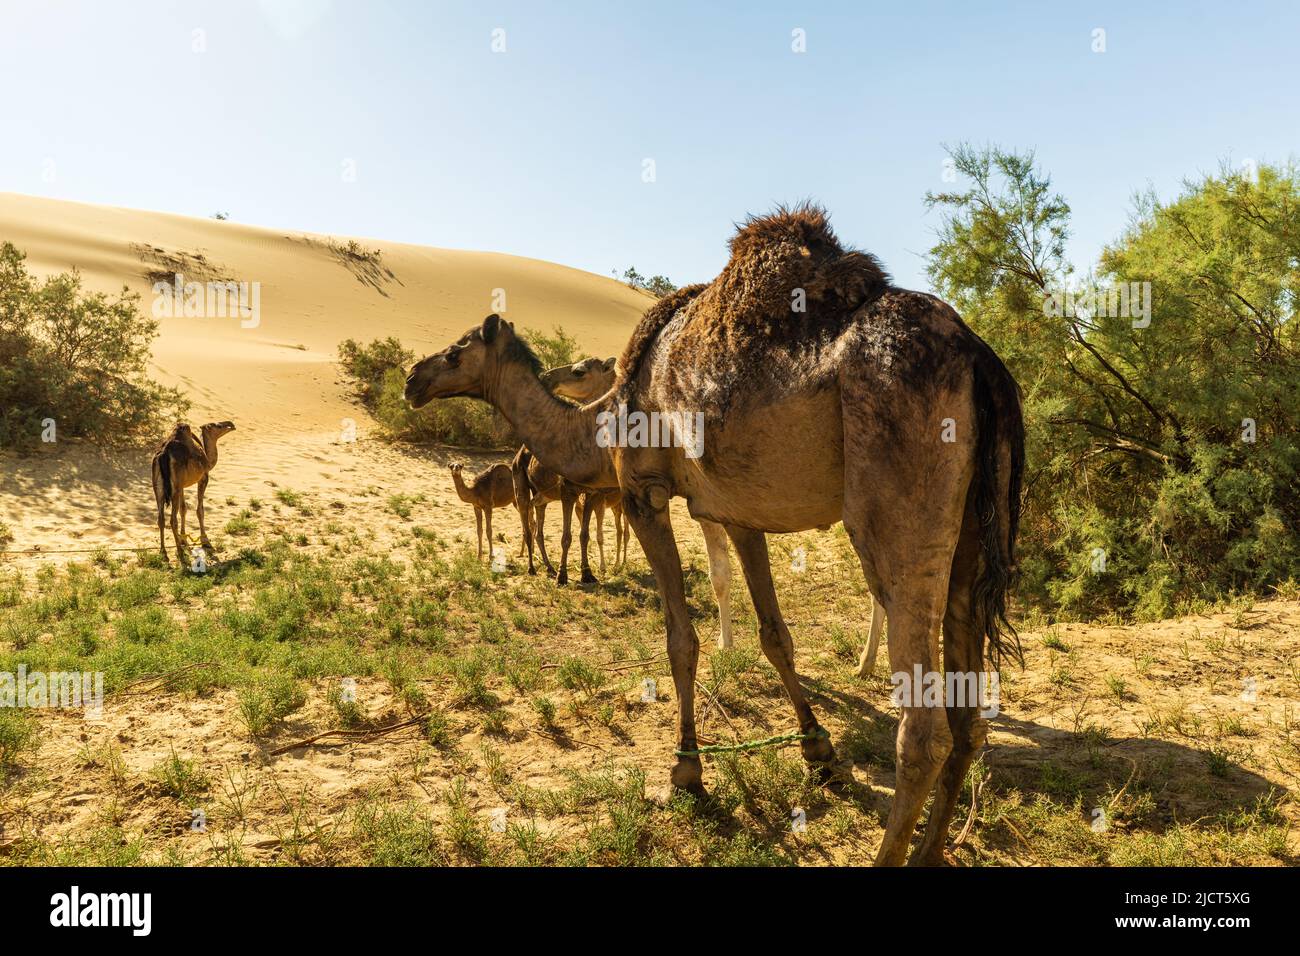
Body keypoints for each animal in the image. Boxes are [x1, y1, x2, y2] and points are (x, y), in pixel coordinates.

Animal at [151, 420, 236, 565]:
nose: (231, 424)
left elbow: (183, 509)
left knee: (161, 518)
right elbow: (200, 510)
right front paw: (205, 541)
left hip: (158, 487)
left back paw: (163, 553)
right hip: (174, 487)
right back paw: (180, 553)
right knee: (172, 519)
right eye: (218, 426)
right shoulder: (203, 477)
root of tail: (163, 454)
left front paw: (184, 539)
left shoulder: (182, 485)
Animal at [405, 205, 1023, 865]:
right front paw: (818, 751)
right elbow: (776, 635)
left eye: (456, 351)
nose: (413, 378)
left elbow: (681, 640)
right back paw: (932, 848)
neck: (602, 418)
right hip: (969, 533)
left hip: (898, 505)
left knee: (924, 728)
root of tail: (976, 354)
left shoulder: (643, 492)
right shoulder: (741, 511)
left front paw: (685, 771)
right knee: (969, 715)